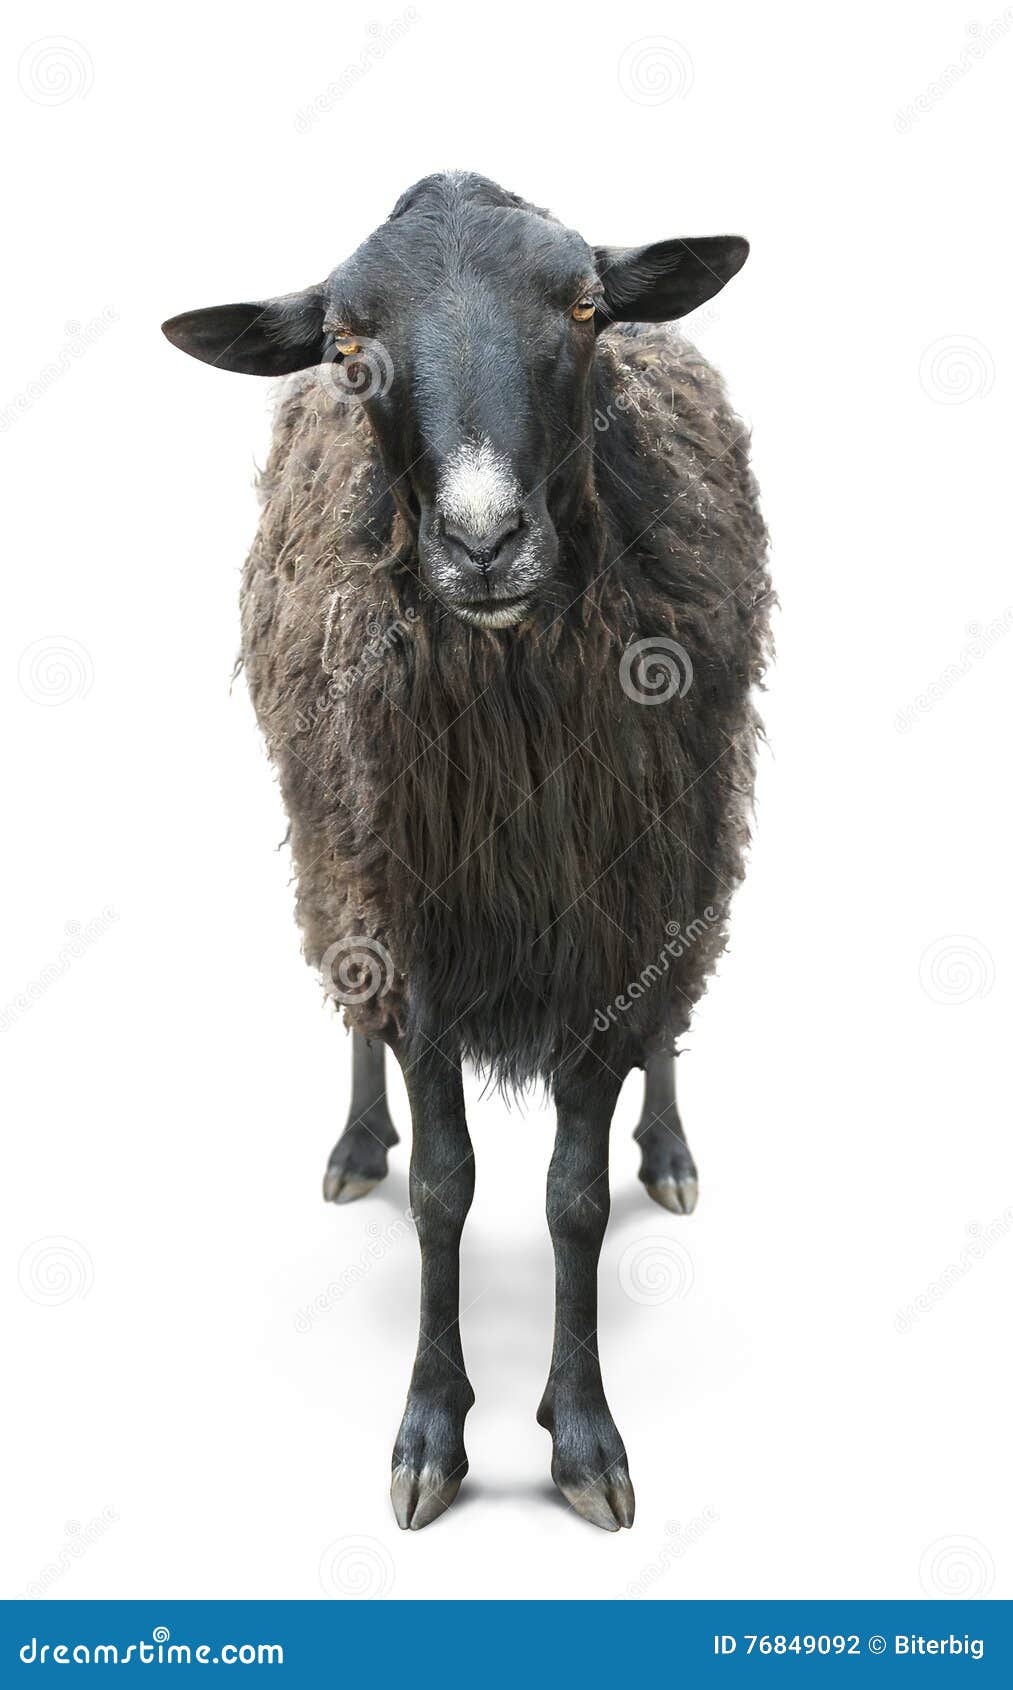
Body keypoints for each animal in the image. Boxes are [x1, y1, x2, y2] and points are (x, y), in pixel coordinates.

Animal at [163, 170, 772, 1533]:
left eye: (587, 307)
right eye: (346, 348)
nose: (485, 540)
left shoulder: (611, 916)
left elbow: (572, 1196)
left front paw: (581, 1430)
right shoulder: (411, 920)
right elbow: (444, 1188)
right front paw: (432, 1427)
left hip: (690, 849)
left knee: (674, 1013)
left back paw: (669, 1149)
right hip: (334, 853)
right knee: (351, 1010)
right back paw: (353, 1145)